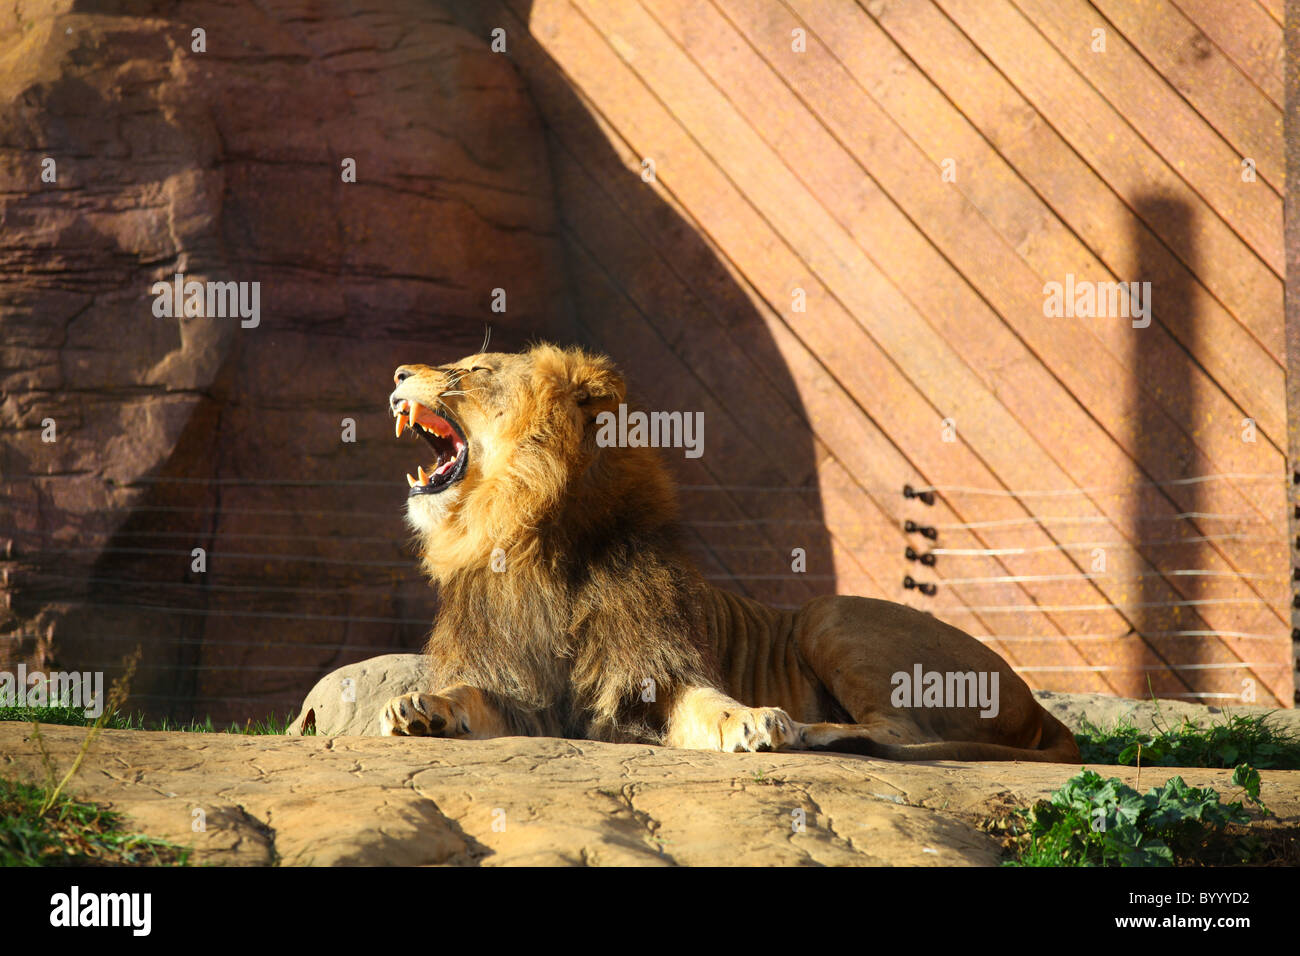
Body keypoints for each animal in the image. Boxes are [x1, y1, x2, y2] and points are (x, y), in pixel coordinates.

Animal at [379, 344, 1080, 762]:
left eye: (476, 370)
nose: (397, 373)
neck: (533, 538)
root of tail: (1040, 708)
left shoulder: (653, 679)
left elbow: (709, 703)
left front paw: (755, 719)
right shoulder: (520, 692)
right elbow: (468, 693)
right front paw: (418, 707)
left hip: (831, 614)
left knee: (904, 733)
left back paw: (810, 731)